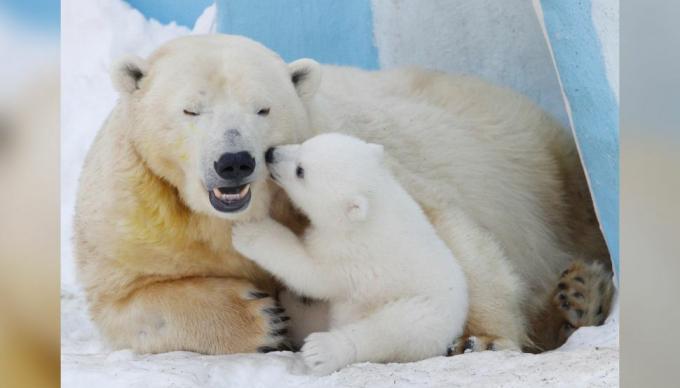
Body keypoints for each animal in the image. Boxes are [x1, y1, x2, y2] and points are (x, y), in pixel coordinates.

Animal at [231, 133, 470, 372]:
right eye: (304, 144)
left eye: (300, 171)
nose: (270, 153)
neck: (372, 211)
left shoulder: (351, 255)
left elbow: (313, 274)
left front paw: (249, 231)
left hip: (426, 314)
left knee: (391, 328)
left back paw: (320, 348)